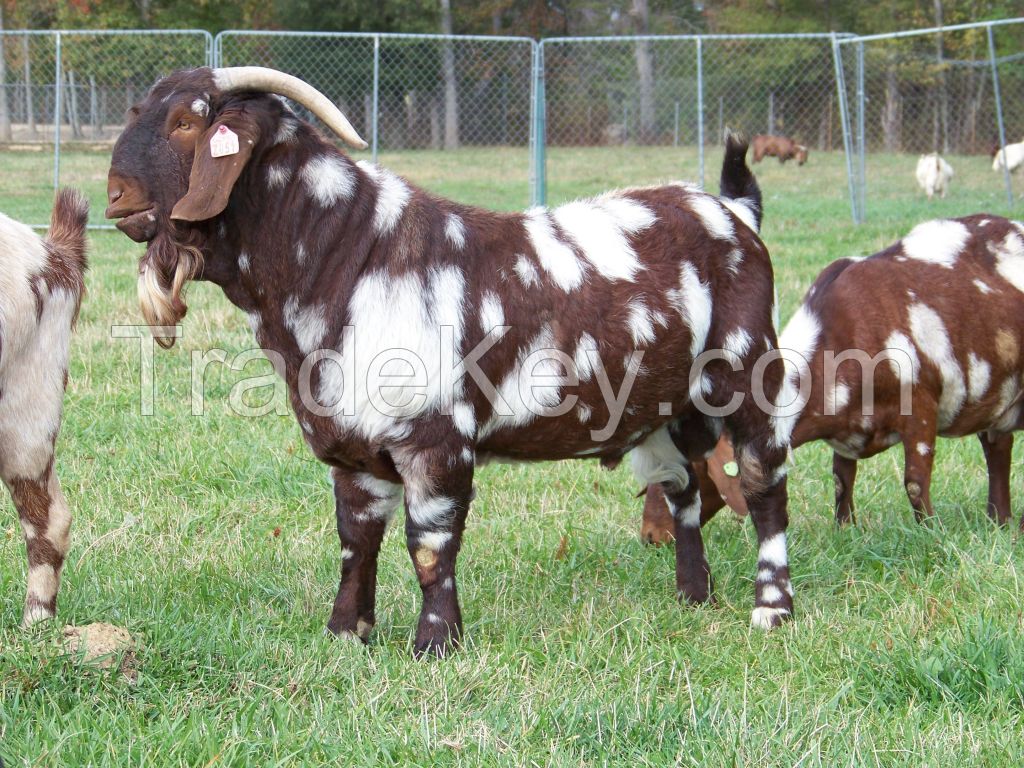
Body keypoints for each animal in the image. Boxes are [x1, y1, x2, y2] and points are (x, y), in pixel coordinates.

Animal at [105, 67, 795, 655]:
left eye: (186, 122)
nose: (114, 197)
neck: (348, 256)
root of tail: (735, 212)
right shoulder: (353, 451)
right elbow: (357, 542)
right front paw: (346, 634)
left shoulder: (436, 440)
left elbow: (431, 545)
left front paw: (435, 644)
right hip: (663, 411)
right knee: (684, 488)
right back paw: (693, 596)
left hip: (747, 371)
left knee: (763, 484)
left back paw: (772, 608)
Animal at [643, 215, 1024, 541]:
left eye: (686, 474)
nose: (650, 536)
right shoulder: (845, 433)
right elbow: (842, 480)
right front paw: (844, 530)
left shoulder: (920, 407)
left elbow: (915, 482)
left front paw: (930, 531)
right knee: (998, 449)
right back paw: (1000, 520)